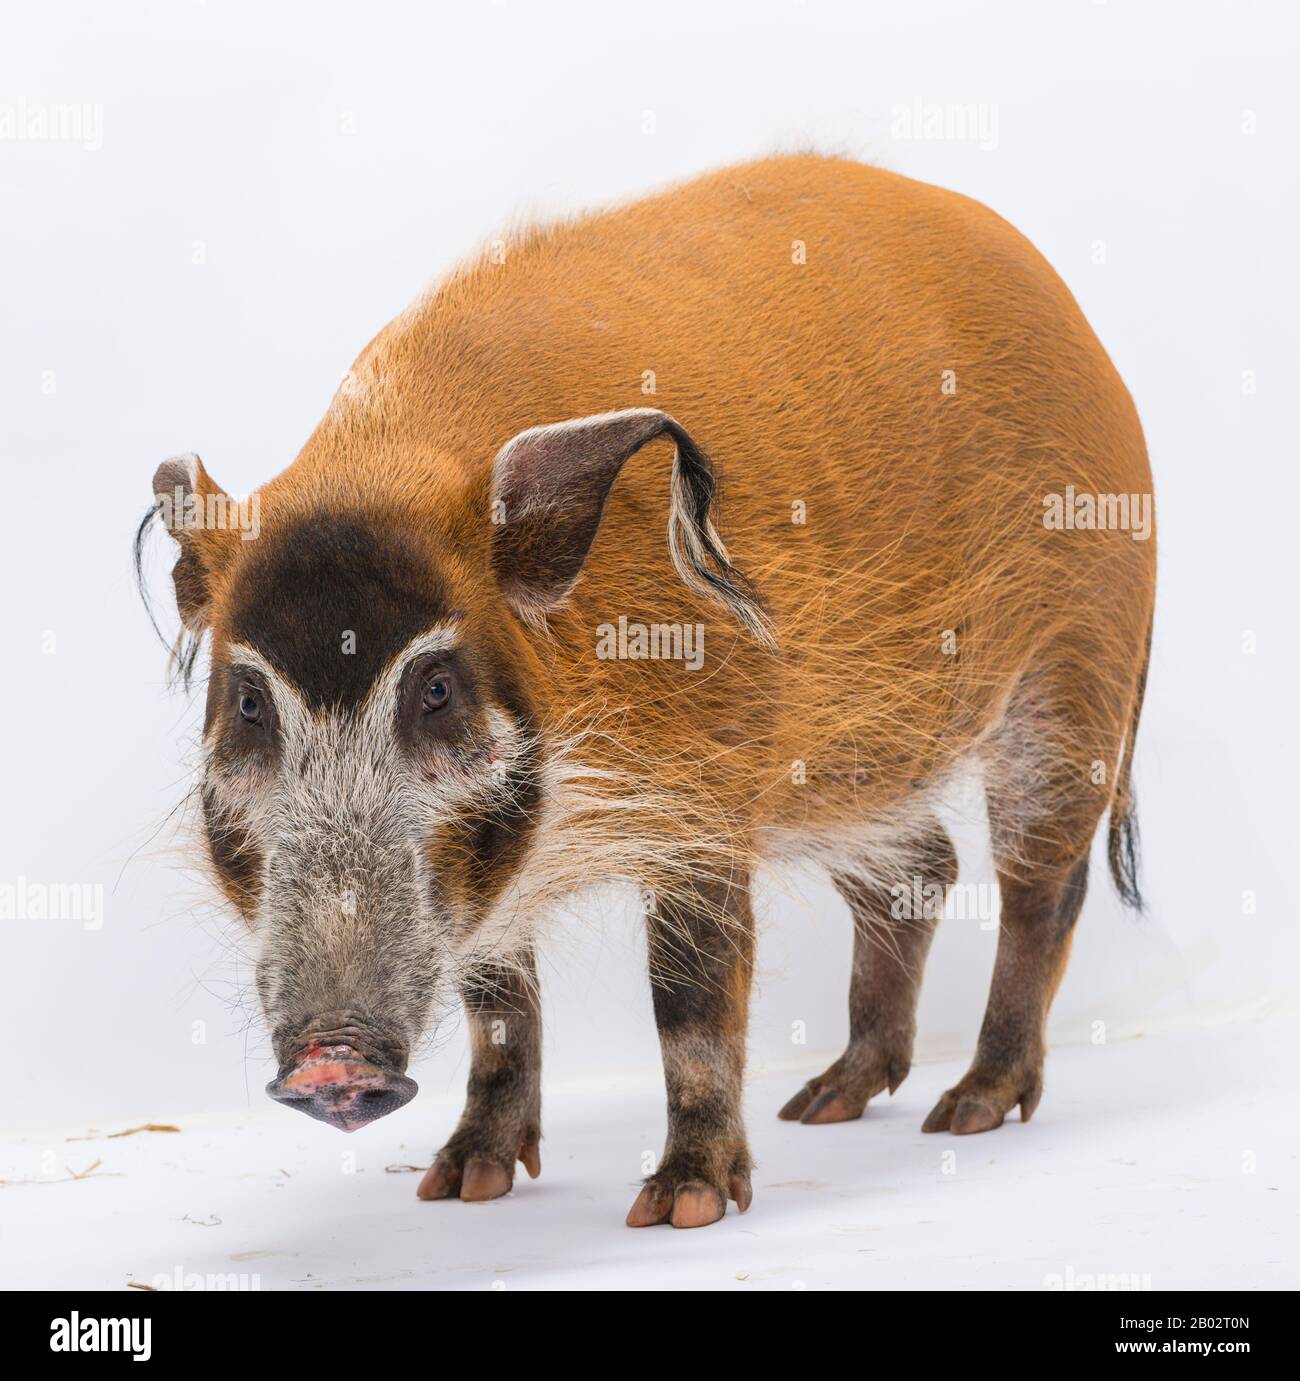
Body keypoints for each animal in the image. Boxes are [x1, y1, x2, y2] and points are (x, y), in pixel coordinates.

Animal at [139, 155, 1154, 1229]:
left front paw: (681, 1206)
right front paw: (459, 1187)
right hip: (854, 766)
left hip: (1074, 670)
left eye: (437, 686)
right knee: (917, 868)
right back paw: (824, 1103)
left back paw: (966, 1110)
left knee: (1040, 880)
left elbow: (692, 996)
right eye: (251, 702)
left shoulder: (700, 801)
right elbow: (499, 1003)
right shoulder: (496, 870)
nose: (333, 1061)